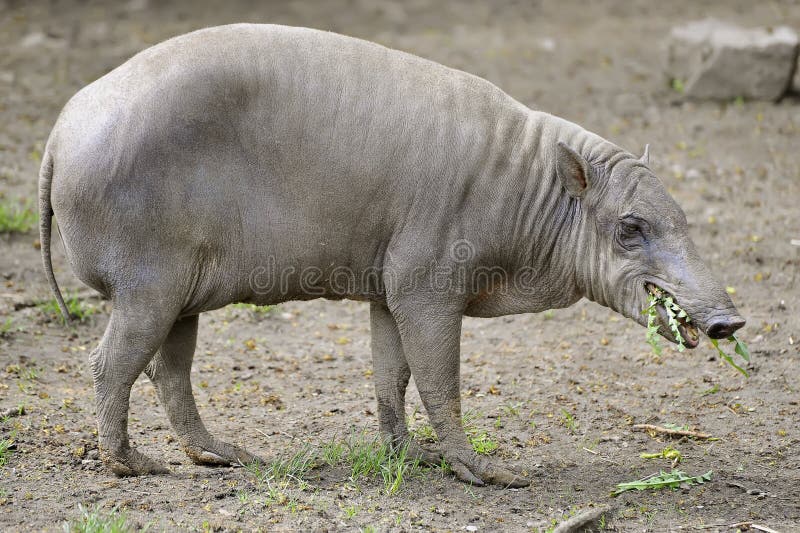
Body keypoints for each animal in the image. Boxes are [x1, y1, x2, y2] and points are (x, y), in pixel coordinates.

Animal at [39, 24, 745, 487]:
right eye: (630, 227)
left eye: (682, 218)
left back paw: (225, 456)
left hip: (181, 294)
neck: (533, 197)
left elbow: (391, 375)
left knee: (169, 372)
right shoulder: (427, 285)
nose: (729, 322)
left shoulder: (387, 291)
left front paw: (410, 456)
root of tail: (61, 127)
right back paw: (132, 465)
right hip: (149, 282)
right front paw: (489, 472)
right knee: (111, 365)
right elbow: (439, 378)